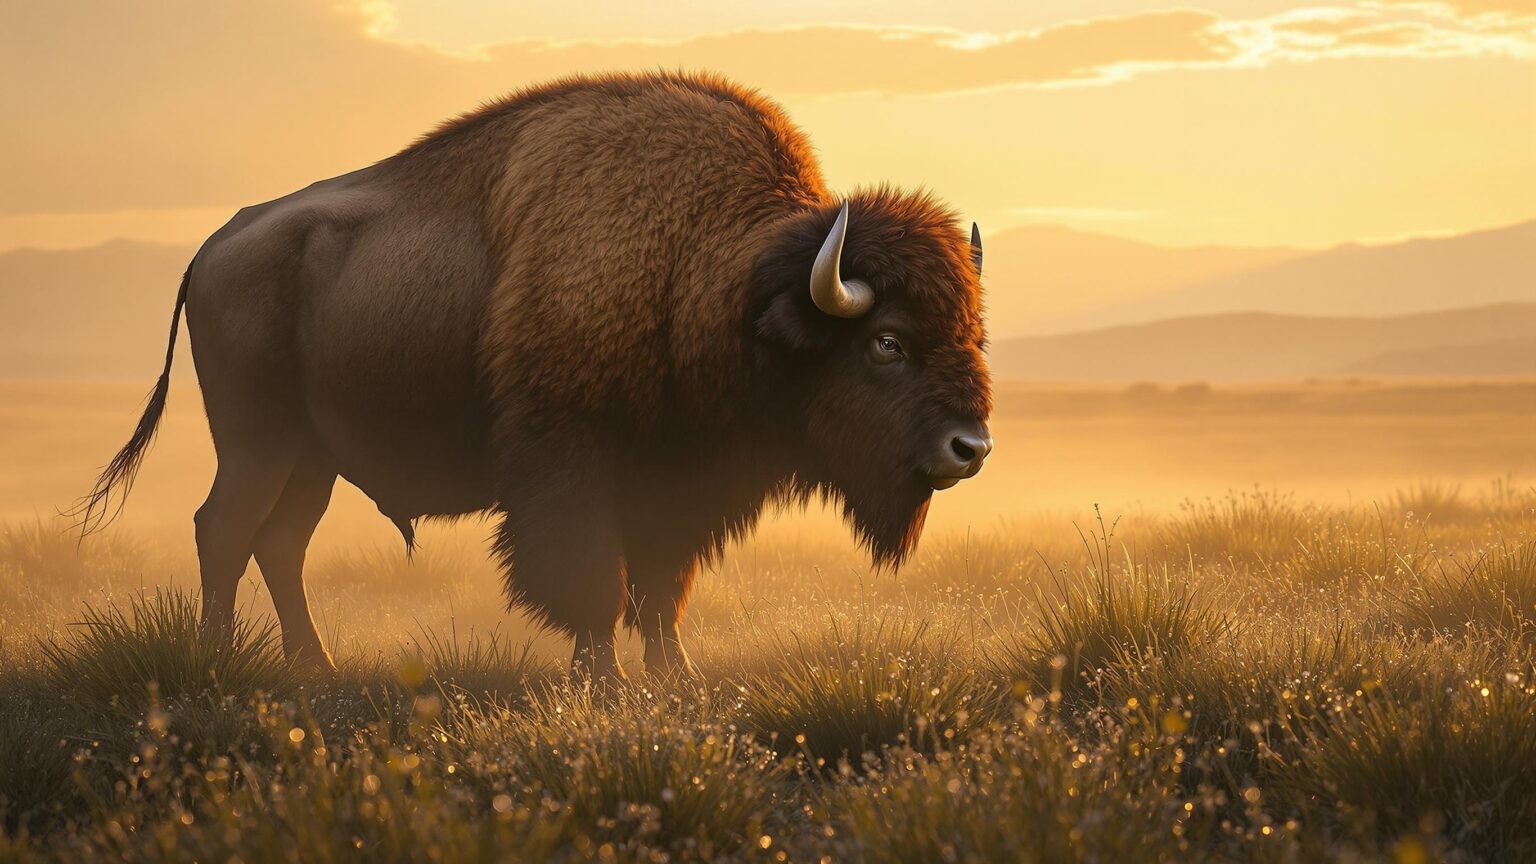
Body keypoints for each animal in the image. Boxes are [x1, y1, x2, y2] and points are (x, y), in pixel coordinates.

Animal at [78, 72, 993, 680]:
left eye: (973, 334)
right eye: (886, 342)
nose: (970, 447)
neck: (707, 274)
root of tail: (213, 248)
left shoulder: (678, 489)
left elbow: (659, 590)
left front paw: (675, 681)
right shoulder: (572, 470)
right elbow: (594, 584)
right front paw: (606, 685)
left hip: (314, 459)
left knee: (279, 544)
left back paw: (317, 670)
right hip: (258, 444)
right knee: (223, 531)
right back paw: (218, 665)